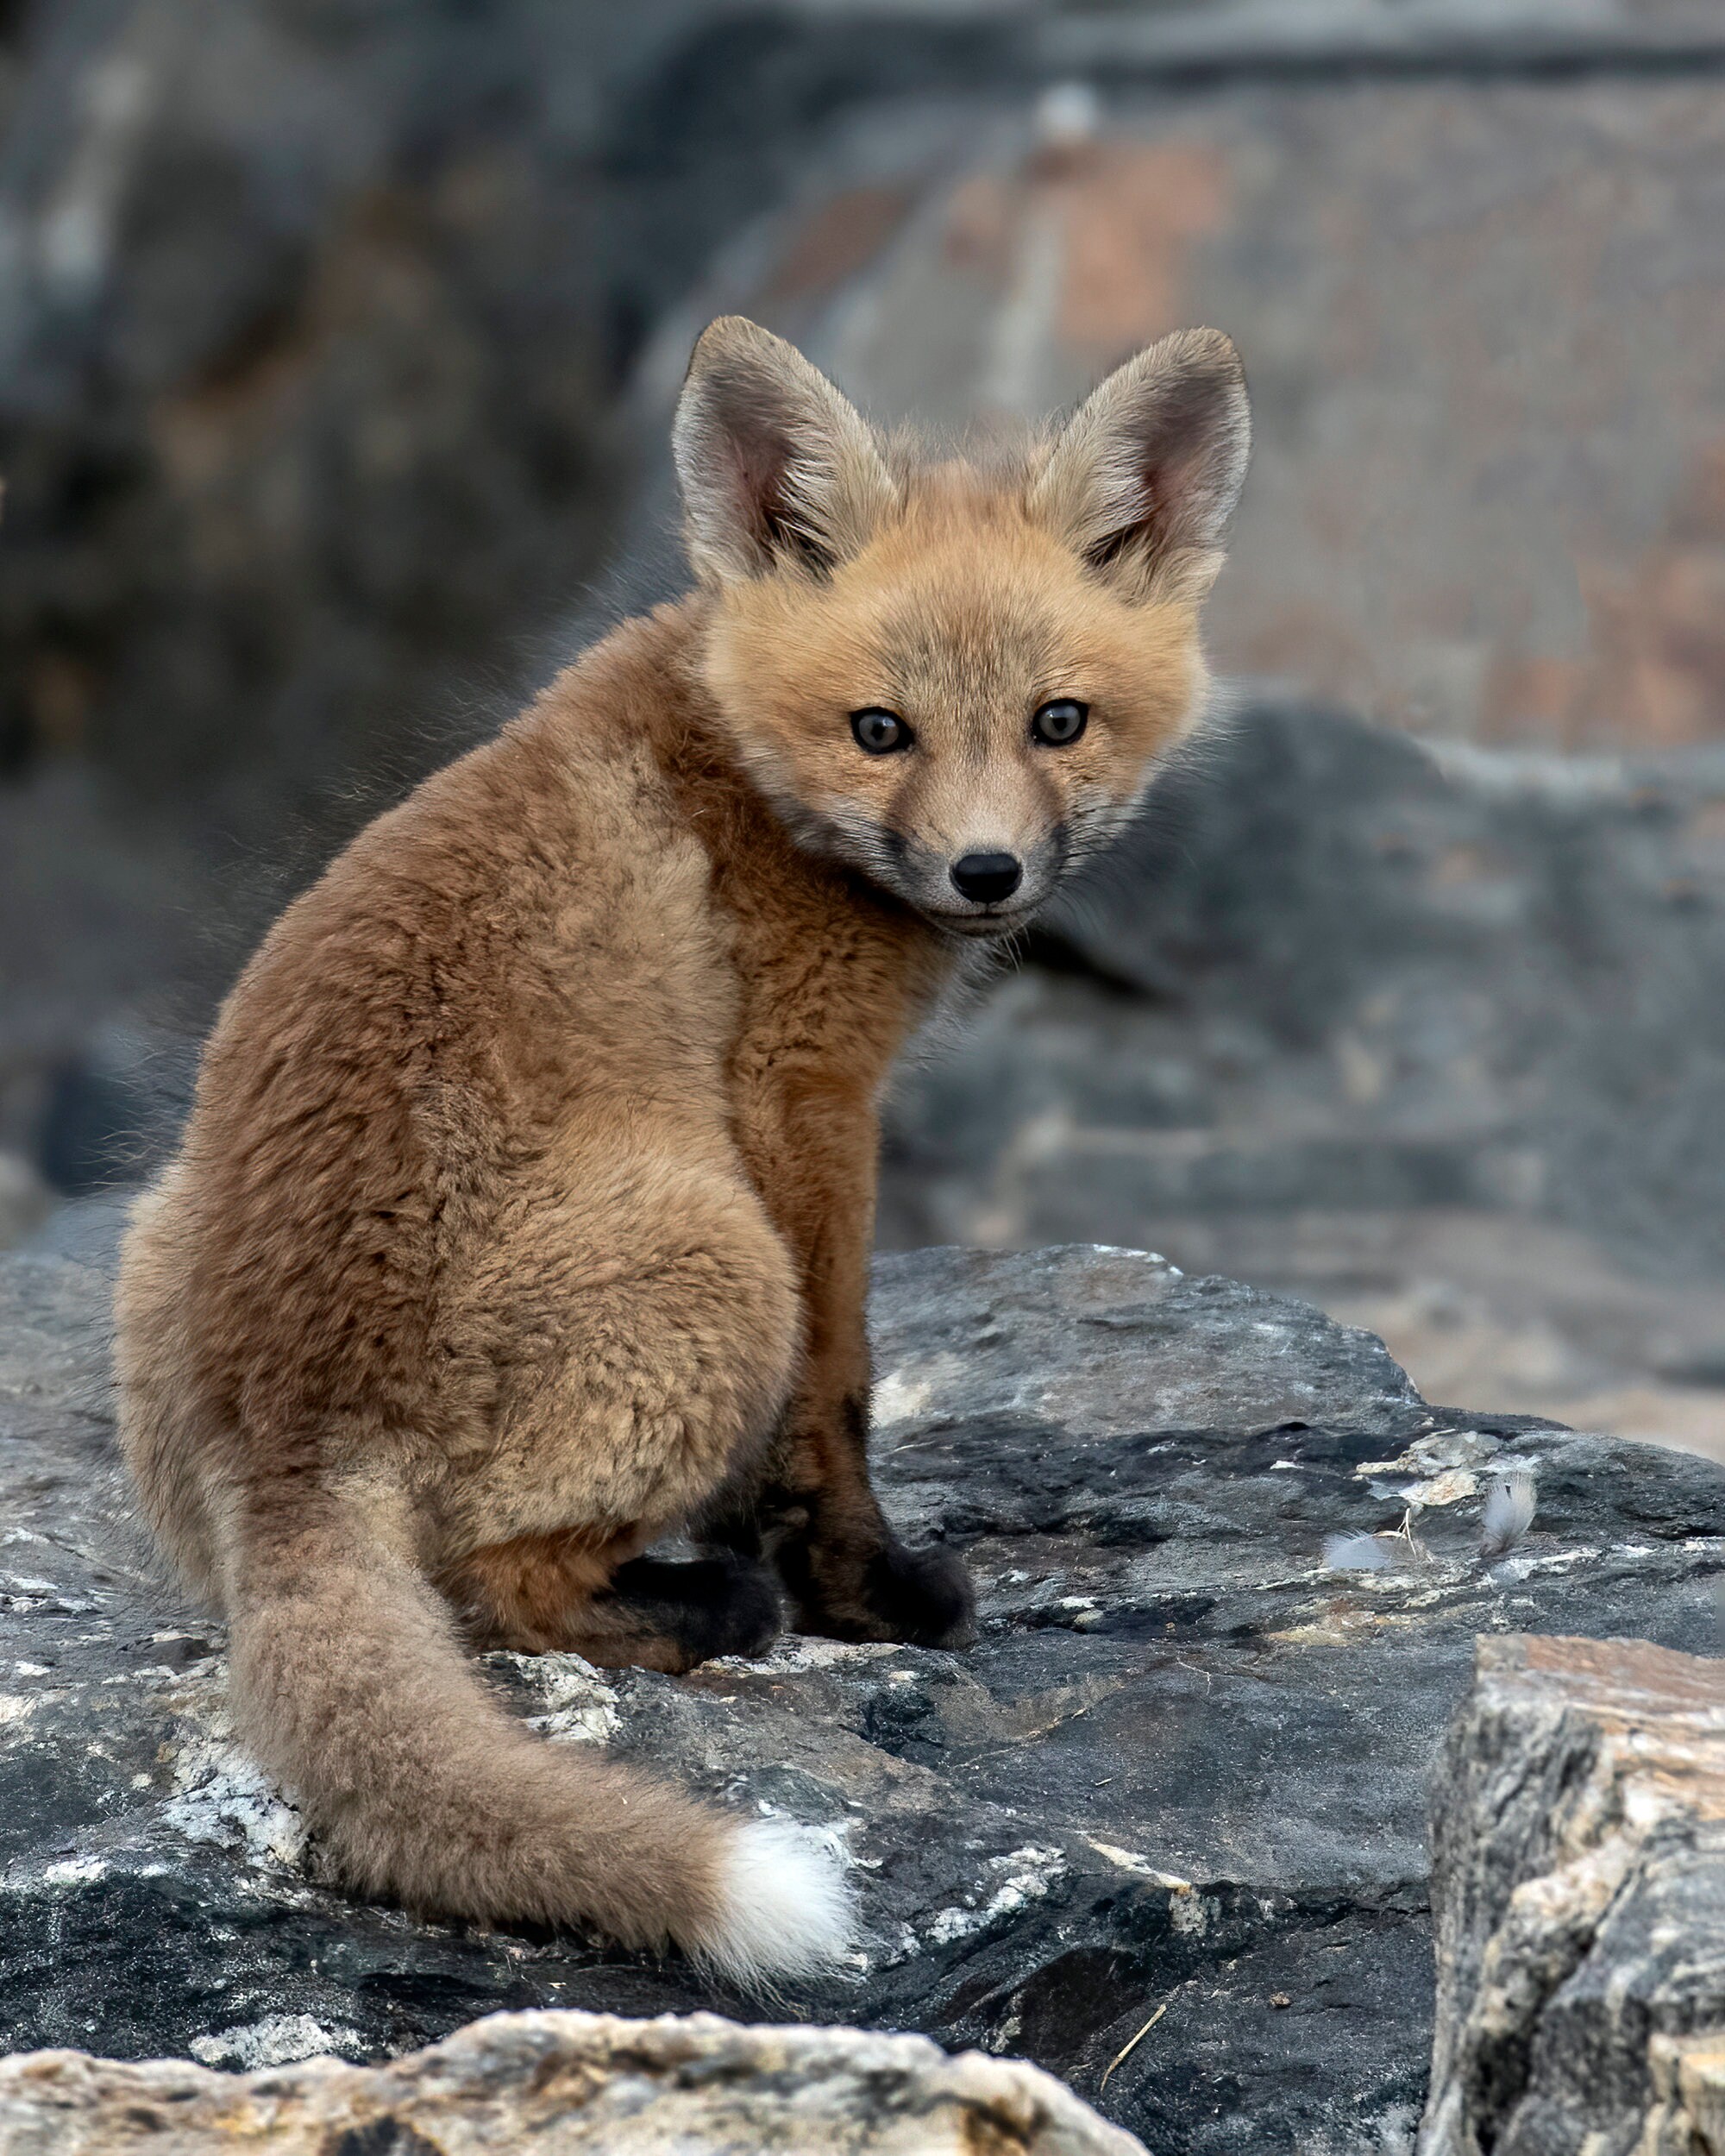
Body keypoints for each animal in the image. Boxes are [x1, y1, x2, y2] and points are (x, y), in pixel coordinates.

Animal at [114, 315, 1250, 1983]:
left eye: (1059, 720)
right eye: (881, 731)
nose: (987, 871)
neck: (733, 753)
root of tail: (290, 1436)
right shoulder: (802, 1094)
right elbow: (836, 1393)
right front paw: (863, 1590)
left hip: (154, 1228)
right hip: (715, 1254)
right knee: (495, 1586)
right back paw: (709, 1609)